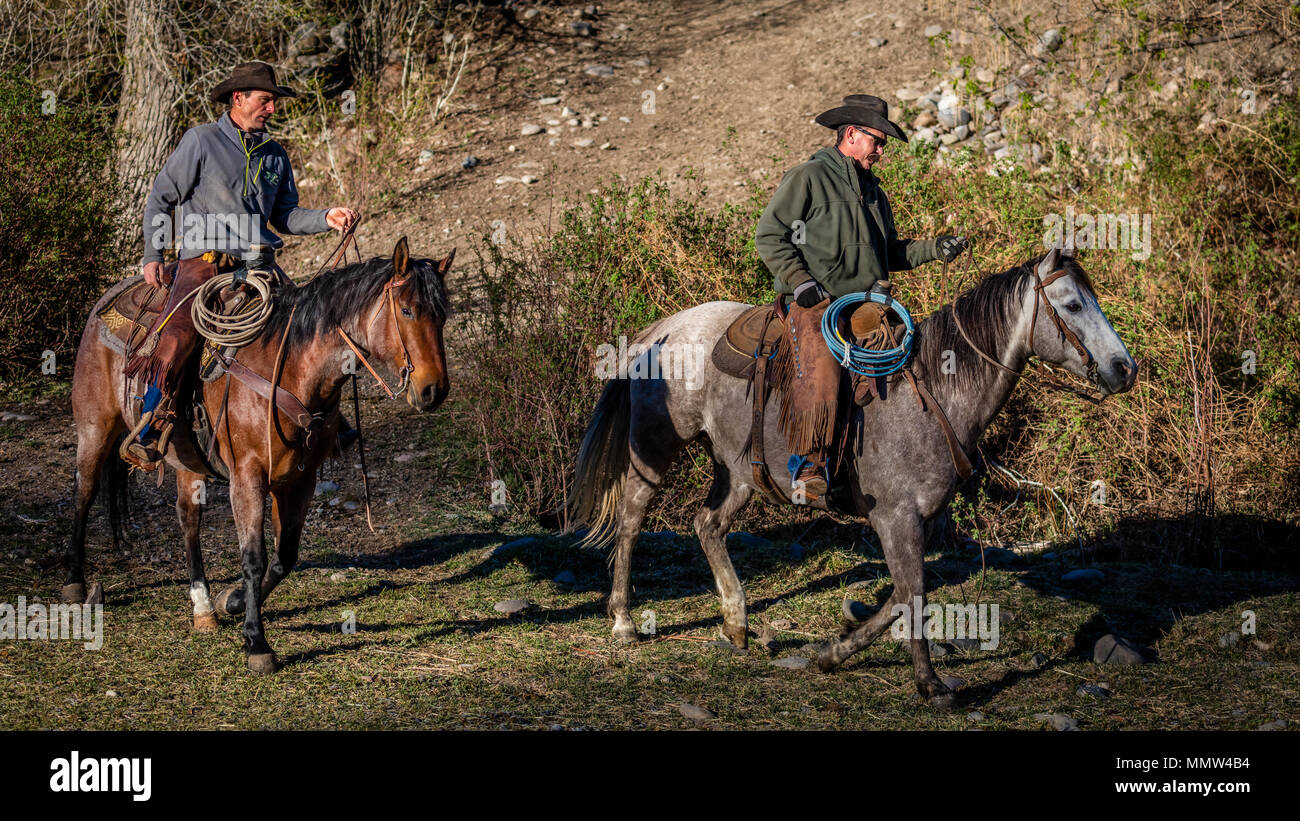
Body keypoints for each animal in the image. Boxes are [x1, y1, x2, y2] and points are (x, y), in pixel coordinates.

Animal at [65, 237, 452, 674]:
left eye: (442, 315)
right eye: (407, 310)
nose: (434, 390)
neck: (293, 371)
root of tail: (107, 299)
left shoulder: (299, 480)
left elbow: (284, 556)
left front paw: (232, 602)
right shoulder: (248, 477)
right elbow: (253, 557)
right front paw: (256, 642)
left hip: (186, 457)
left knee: (187, 518)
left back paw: (203, 605)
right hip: (95, 429)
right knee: (84, 492)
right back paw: (75, 581)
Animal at [566, 248, 1137, 707]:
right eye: (1071, 305)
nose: (1124, 369)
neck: (933, 394)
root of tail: (662, 329)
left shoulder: (916, 521)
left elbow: (899, 598)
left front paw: (832, 653)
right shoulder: (895, 518)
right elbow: (910, 596)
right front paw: (931, 686)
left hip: (737, 471)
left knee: (708, 526)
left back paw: (736, 622)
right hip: (656, 449)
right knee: (631, 519)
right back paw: (623, 620)